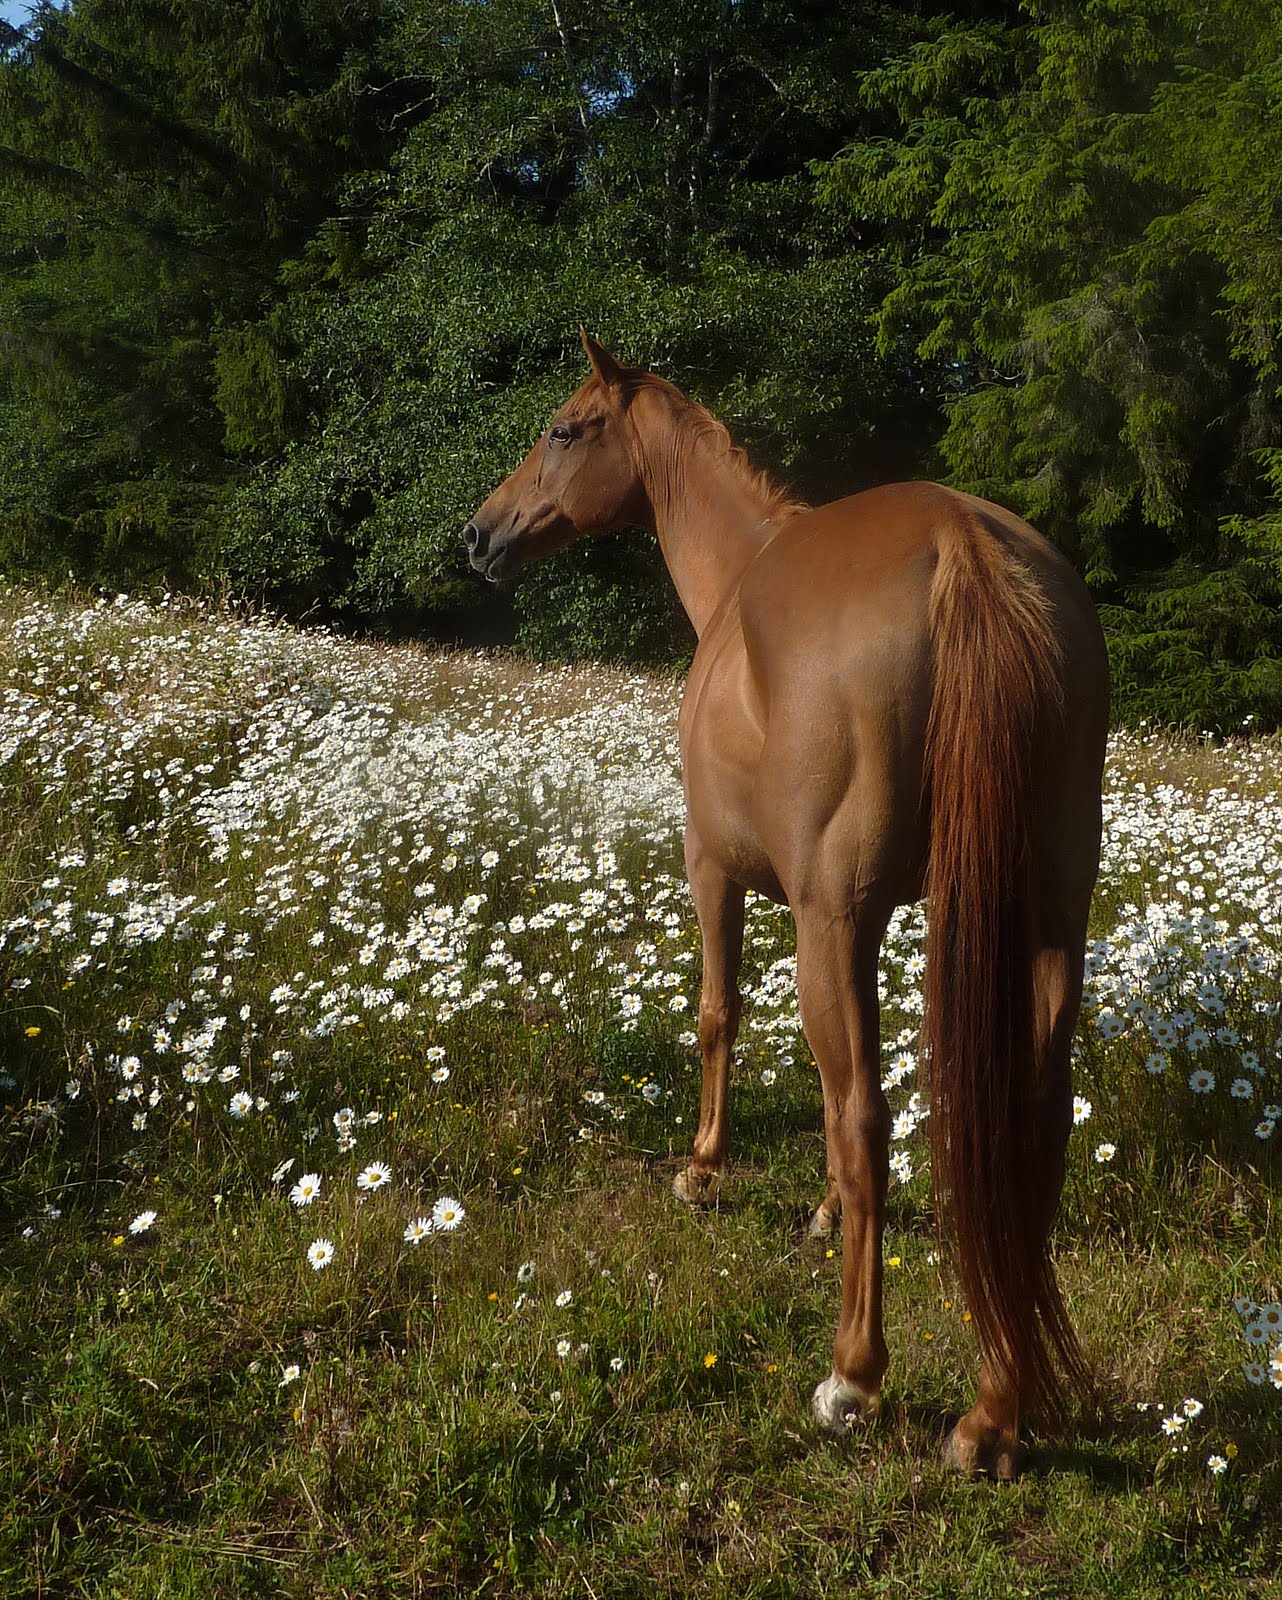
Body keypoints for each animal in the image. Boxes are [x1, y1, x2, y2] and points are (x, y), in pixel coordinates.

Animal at [465, 331, 1108, 1478]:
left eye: (563, 429)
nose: (479, 536)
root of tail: (962, 548)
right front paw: (818, 1210)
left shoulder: (723, 874)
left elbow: (722, 1019)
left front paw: (703, 1170)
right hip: (1043, 921)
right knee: (1029, 1122)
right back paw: (994, 1412)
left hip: (829, 920)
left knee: (867, 1119)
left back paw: (853, 1377)